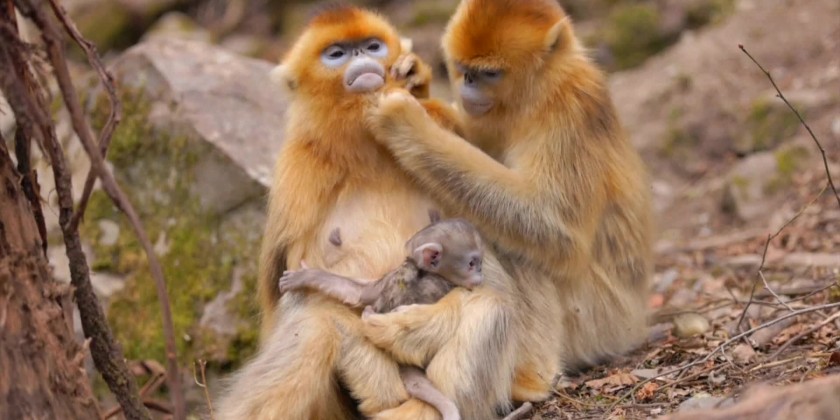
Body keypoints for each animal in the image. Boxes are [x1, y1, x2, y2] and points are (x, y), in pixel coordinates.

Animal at [216, 5, 516, 420]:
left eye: (372, 46)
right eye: (337, 53)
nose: (361, 56)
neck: (365, 150)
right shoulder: (298, 175)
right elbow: (310, 296)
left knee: (491, 306)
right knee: (312, 319)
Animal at [362, 0, 654, 410]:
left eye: (488, 73)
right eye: (463, 69)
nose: (467, 85)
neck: (536, 93)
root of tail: (634, 323)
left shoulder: (570, 105)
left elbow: (554, 229)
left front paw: (405, 122)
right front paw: (416, 81)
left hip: (601, 320)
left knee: (517, 247)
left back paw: (532, 380)